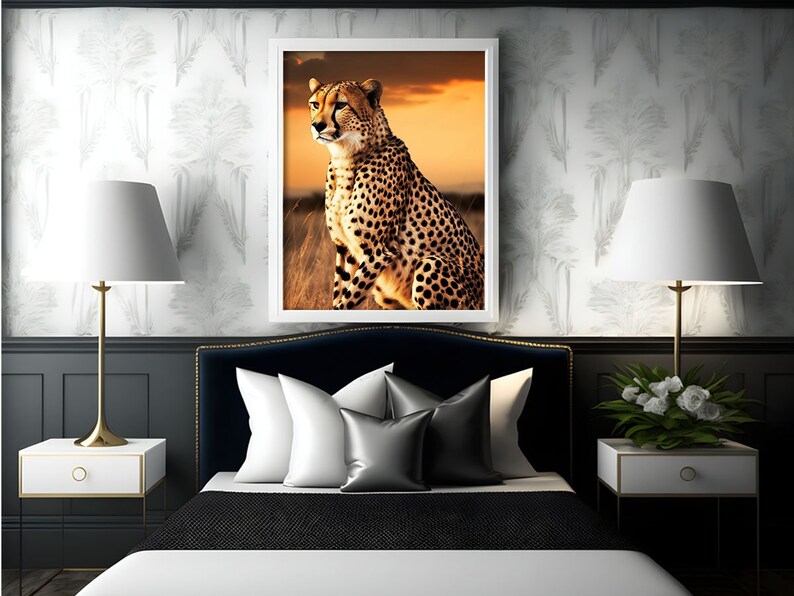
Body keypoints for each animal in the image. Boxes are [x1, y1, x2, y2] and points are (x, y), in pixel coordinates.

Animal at [307, 76, 485, 311]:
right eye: (315, 104)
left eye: (341, 105)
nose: (317, 125)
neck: (345, 159)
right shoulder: (345, 248)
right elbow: (340, 293)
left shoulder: (378, 252)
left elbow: (347, 299)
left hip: (431, 265)